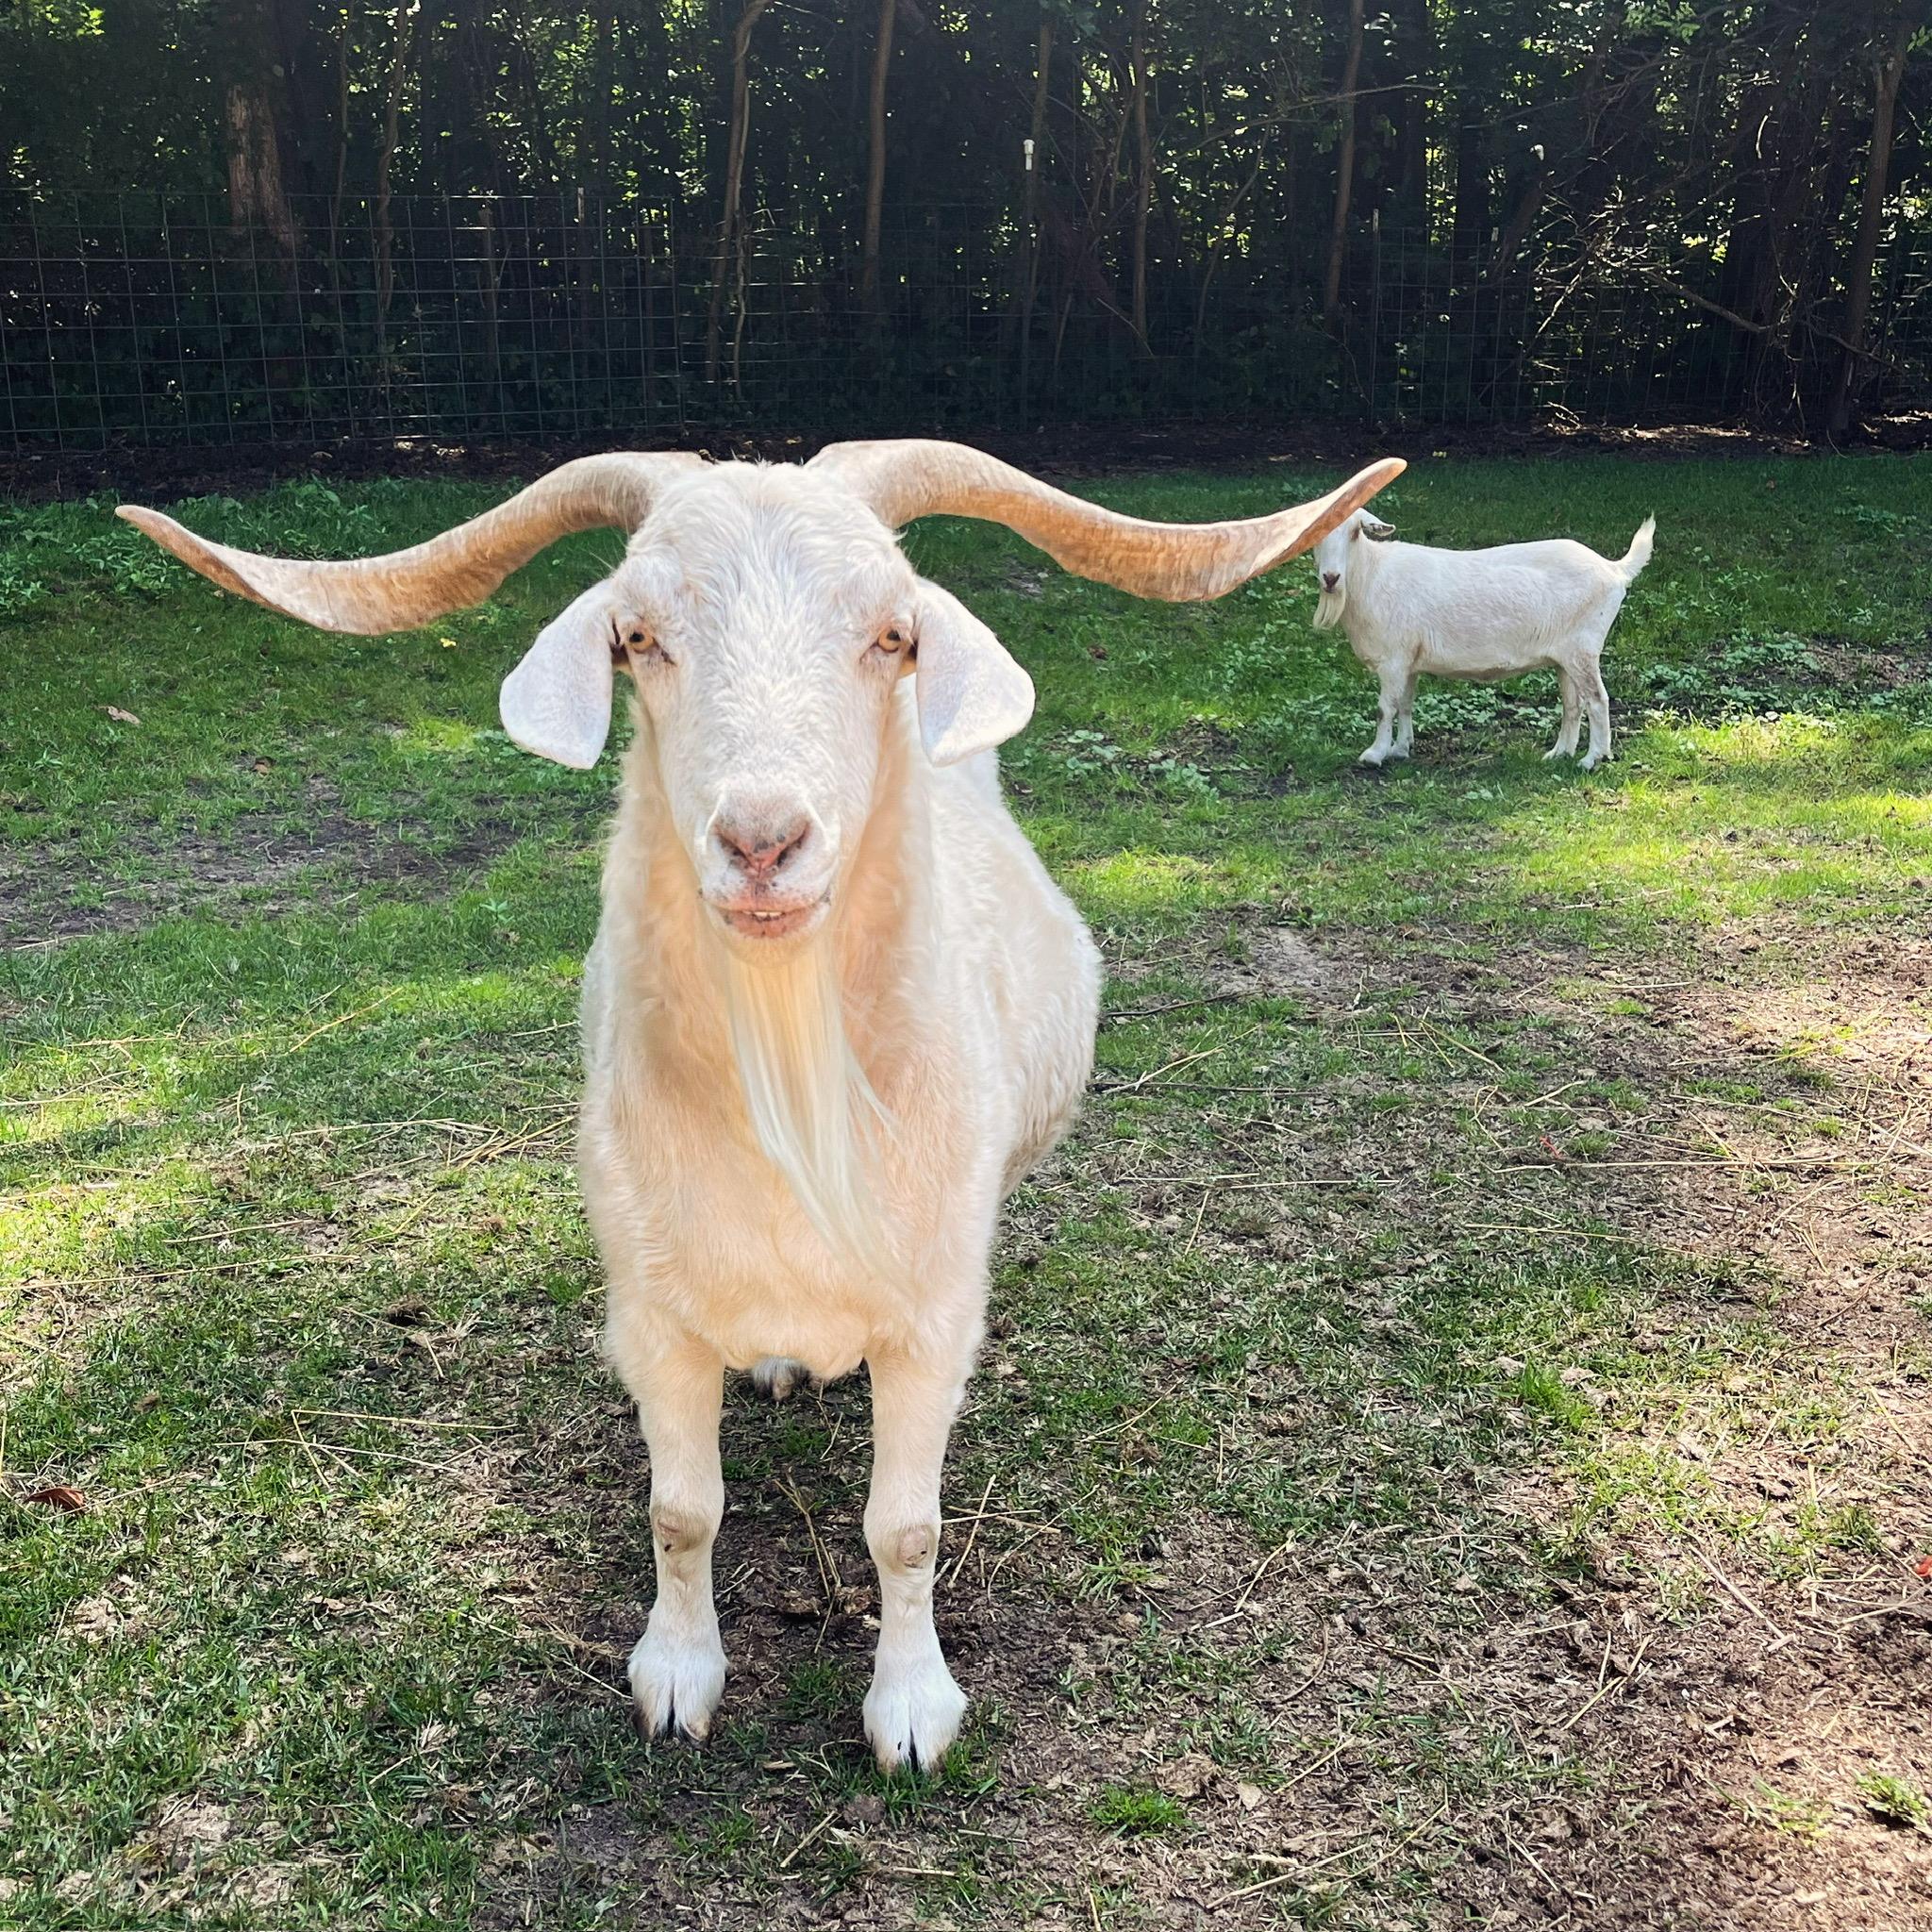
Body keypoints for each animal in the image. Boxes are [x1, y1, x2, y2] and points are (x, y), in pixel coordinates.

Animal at [119, 442, 1403, 1769]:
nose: (761, 840)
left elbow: (904, 1528)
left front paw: (910, 1709)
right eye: (636, 636)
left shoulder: (930, 1310)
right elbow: (681, 1507)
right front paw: (677, 1675)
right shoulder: (651, 1309)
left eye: (891, 632)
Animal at [1311, 509, 1655, 770]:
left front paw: (1374, 754)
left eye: (1355, 532)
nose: (1330, 578)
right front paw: (1400, 749)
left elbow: (1385, 708)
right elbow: (1406, 704)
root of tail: (1615, 569)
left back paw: (1592, 759)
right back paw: (1559, 753)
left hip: (1583, 648)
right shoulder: (1408, 659)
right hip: (1564, 656)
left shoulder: (1393, 659)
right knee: (1573, 703)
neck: (1372, 573)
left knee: (1597, 699)